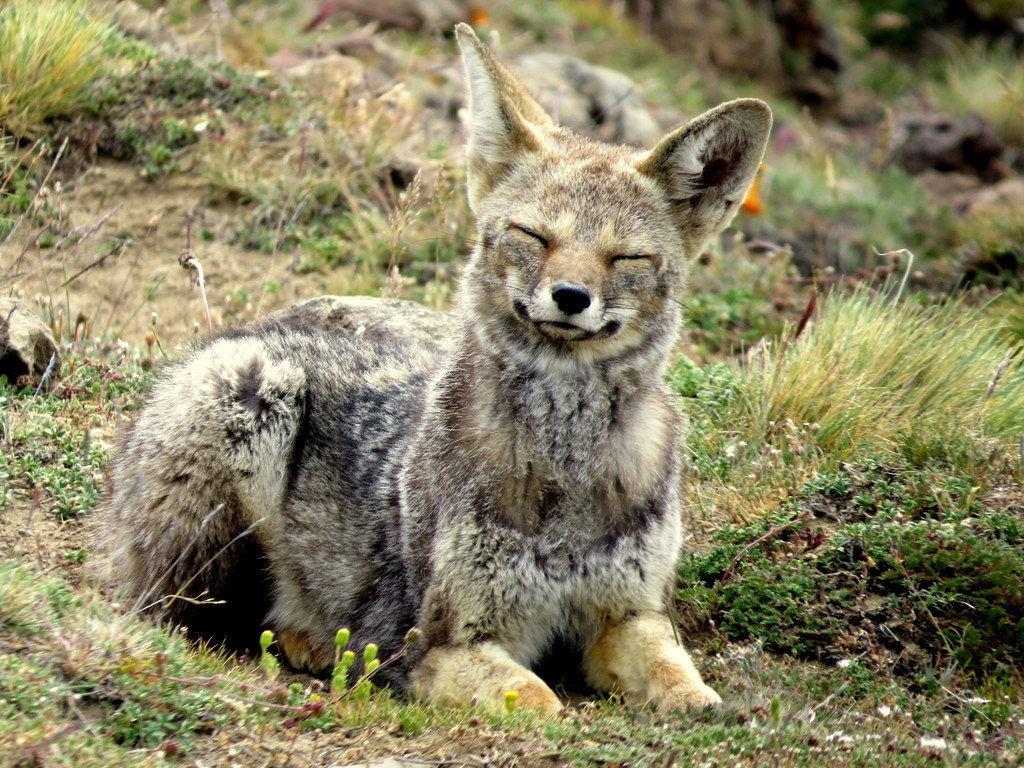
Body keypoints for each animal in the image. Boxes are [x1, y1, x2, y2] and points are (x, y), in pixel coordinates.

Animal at [91, 24, 771, 715]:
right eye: (533, 235)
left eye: (626, 257)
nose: (571, 296)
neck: (564, 472)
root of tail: (265, 323)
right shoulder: (443, 645)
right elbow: (540, 701)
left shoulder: (631, 614)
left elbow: (683, 681)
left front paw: (710, 709)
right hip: (249, 402)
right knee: (195, 614)